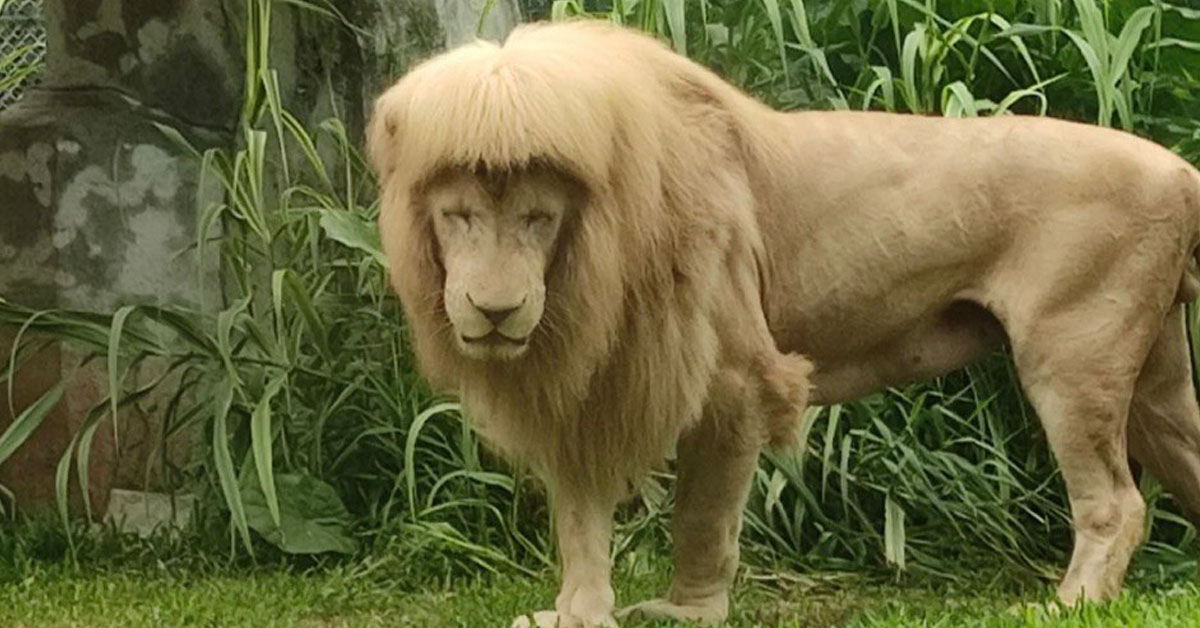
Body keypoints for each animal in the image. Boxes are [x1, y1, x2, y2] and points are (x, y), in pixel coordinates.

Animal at [368, 19, 1200, 627]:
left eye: (539, 218)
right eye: (458, 216)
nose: (495, 309)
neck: (589, 267)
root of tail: (1183, 171)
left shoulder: (735, 379)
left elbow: (702, 516)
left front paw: (687, 613)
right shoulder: (587, 385)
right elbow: (580, 519)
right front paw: (577, 612)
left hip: (1073, 354)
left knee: (1117, 503)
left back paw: (1067, 605)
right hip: (1156, 379)